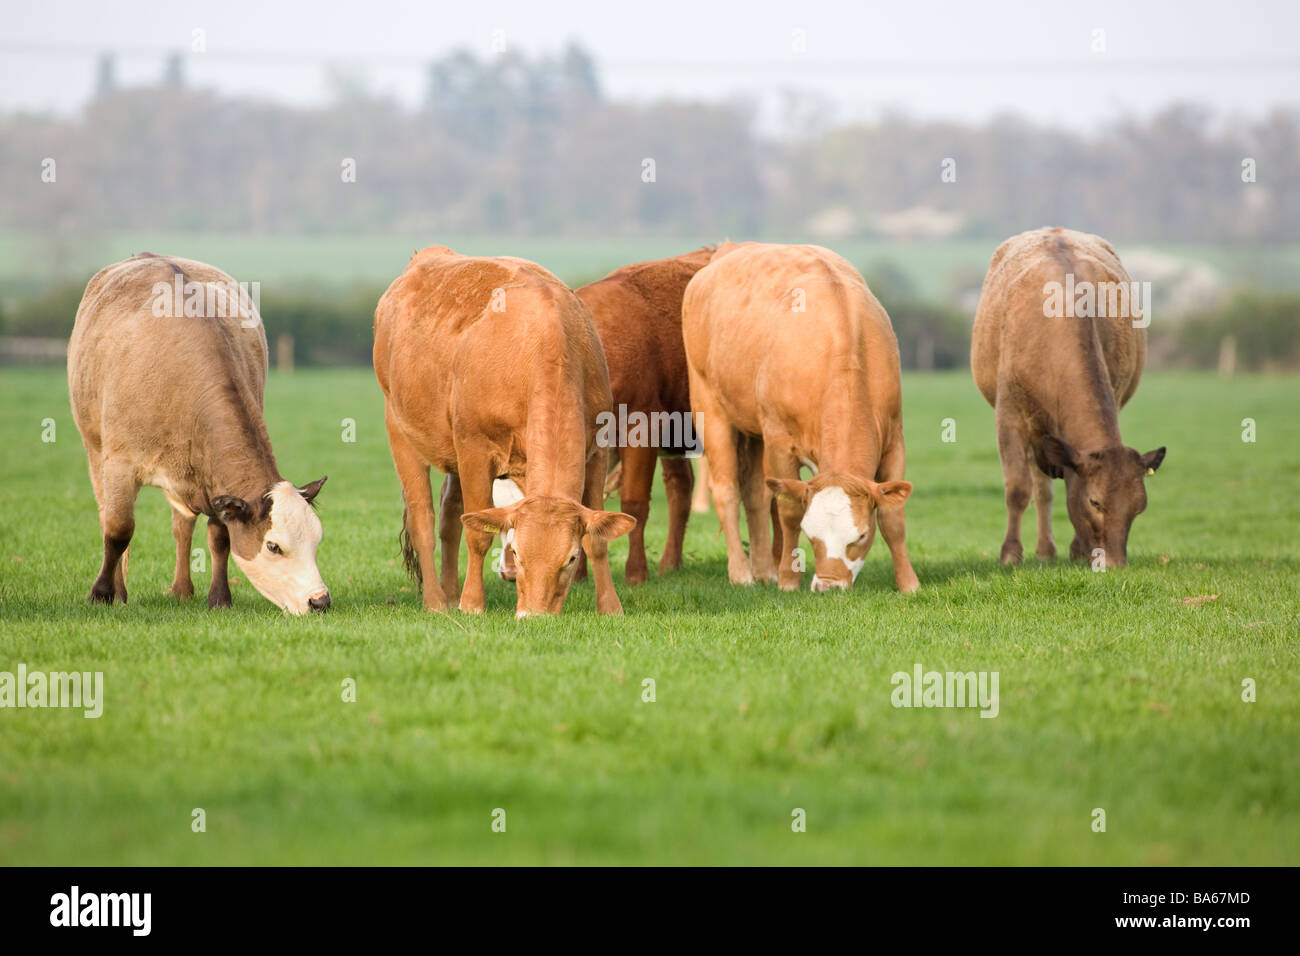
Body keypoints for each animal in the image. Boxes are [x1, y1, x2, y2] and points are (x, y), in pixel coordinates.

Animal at [67, 253, 330, 614]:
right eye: (274, 546)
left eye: (317, 540)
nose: (320, 600)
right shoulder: (119, 464)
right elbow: (118, 531)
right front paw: (102, 594)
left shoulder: (215, 482)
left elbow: (219, 538)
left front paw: (219, 597)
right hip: (94, 447)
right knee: (107, 515)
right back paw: (120, 590)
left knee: (182, 526)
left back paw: (181, 588)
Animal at [373, 246, 635, 617]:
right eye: (519, 556)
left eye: (570, 559)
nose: (533, 616)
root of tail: (428, 255)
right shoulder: (475, 449)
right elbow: (478, 534)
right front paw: (471, 604)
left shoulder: (597, 449)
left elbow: (597, 539)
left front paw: (610, 606)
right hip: (401, 430)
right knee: (423, 518)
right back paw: (437, 602)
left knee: (450, 516)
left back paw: (450, 592)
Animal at [573, 247, 713, 584]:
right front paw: (580, 576)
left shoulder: (643, 426)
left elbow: (634, 503)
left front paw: (636, 573)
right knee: (681, 486)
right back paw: (670, 565)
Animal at [681, 241, 920, 593]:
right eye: (811, 534)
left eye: (861, 535)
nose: (828, 586)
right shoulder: (780, 442)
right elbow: (789, 510)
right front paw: (788, 580)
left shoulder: (894, 438)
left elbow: (894, 518)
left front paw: (908, 582)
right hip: (710, 409)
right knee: (726, 491)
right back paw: (741, 573)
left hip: (755, 430)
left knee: (755, 494)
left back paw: (764, 569)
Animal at [971, 227, 1165, 567]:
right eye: (1095, 502)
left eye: (1139, 508)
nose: (1115, 565)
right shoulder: (1009, 415)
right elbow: (1017, 489)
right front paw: (1010, 554)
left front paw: (1077, 551)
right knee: (1040, 489)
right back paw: (1044, 550)